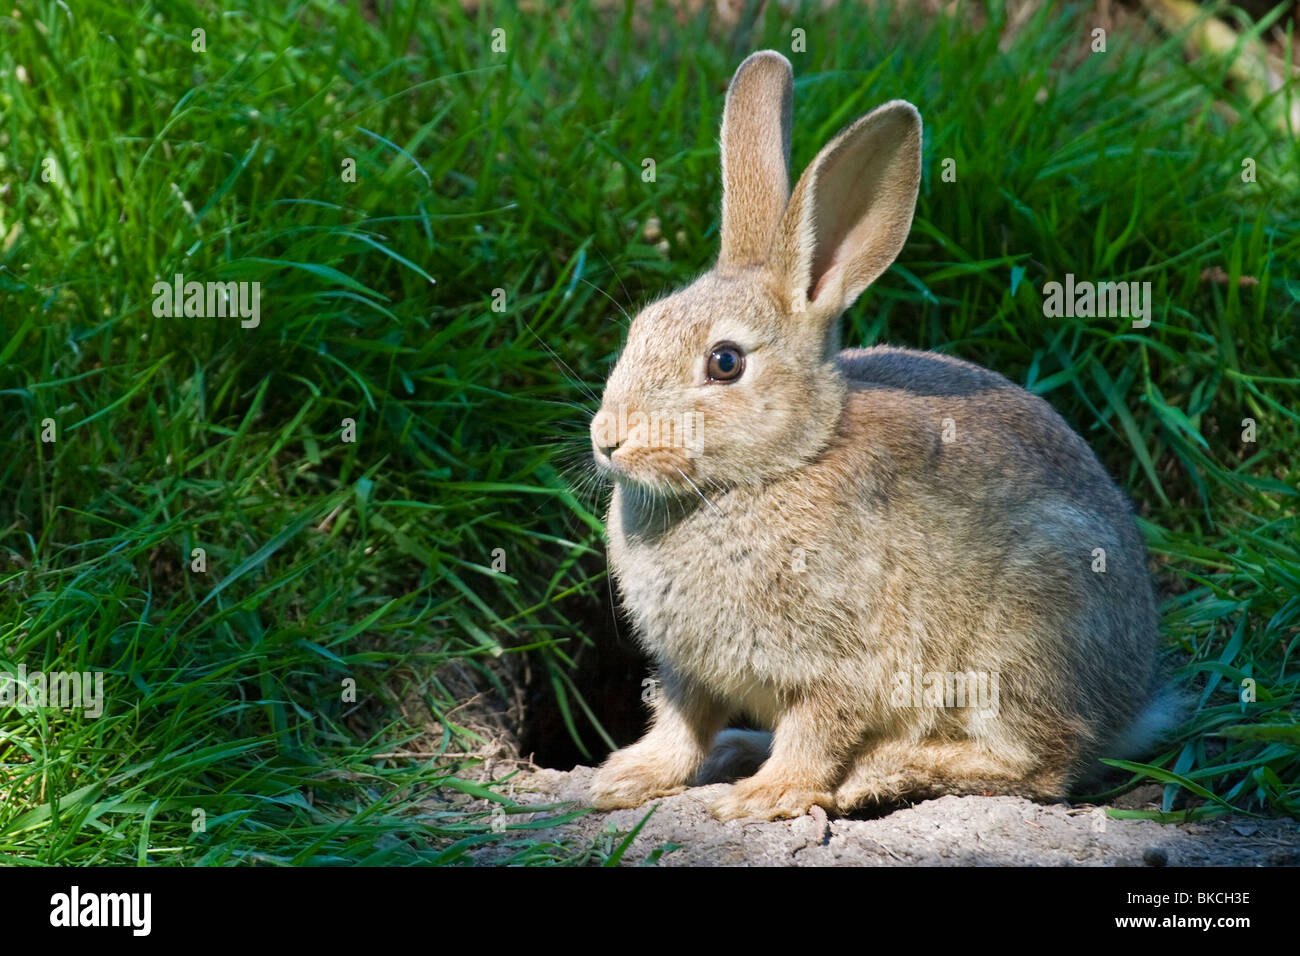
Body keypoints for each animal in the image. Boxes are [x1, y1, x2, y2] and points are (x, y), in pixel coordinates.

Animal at [586, 50, 1173, 821]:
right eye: (639, 329)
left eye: (725, 363)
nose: (608, 439)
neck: (780, 464)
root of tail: (1131, 703)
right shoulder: (690, 673)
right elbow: (681, 725)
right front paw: (624, 779)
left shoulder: (841, 664)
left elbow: (817, 729)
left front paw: (764, 799)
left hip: (1027, 629)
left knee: (1041, 762)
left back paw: (878, 773)